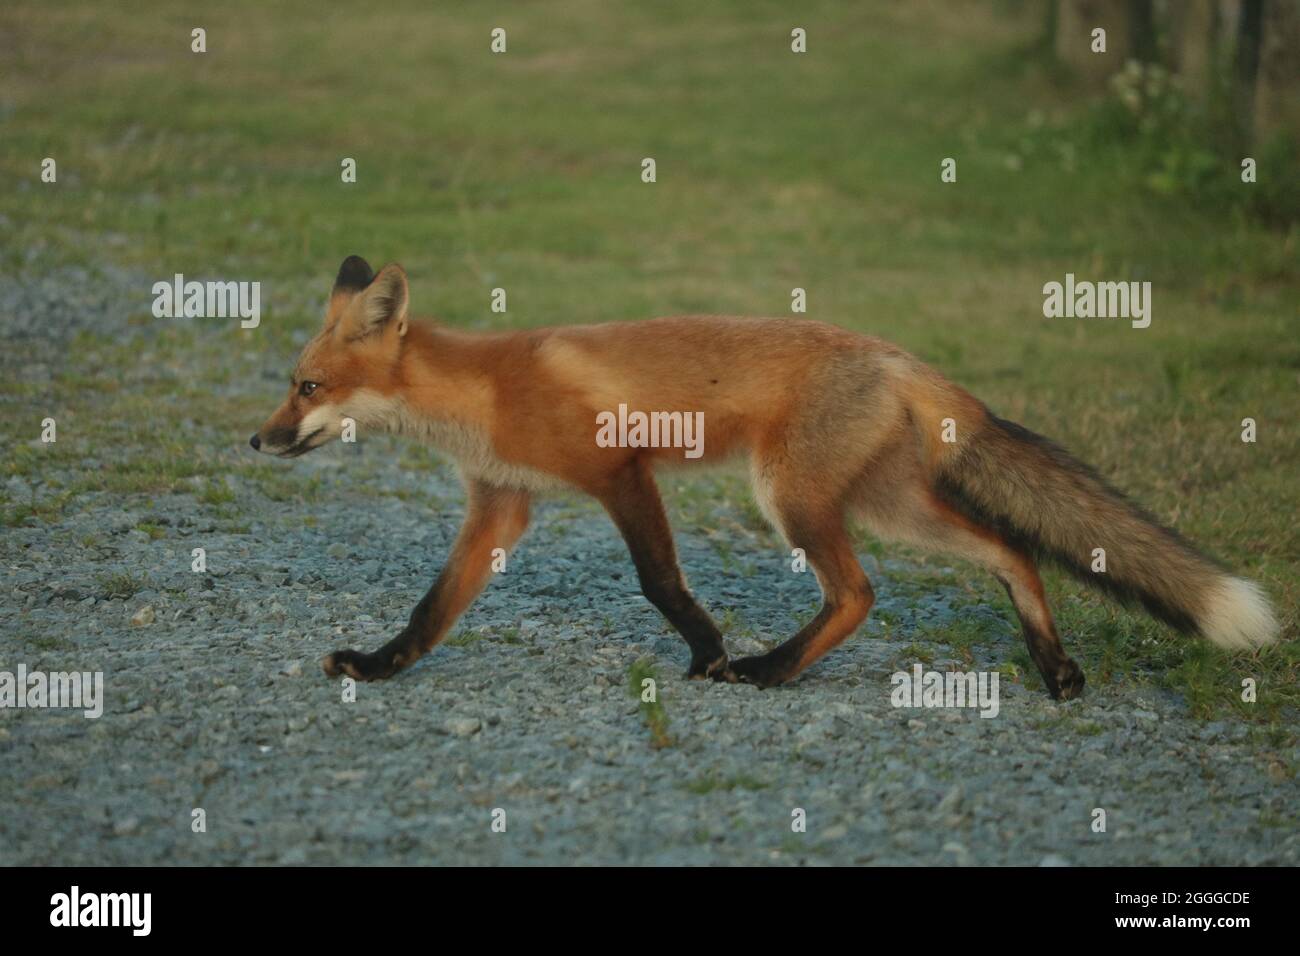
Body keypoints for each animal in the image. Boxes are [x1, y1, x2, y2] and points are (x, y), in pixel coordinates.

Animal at [250, 255, 1280, 698]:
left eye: (307, 386)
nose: (258, 442)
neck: (486, 392)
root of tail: (900, 356)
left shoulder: (620, 470)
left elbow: (660, 581)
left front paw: (707, 653)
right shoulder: (501, 507)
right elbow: (431, 611)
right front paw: (378, 667)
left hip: (791, 498)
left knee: (860, 594)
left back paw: (769, 670)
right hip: (887, 503)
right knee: (1008, 551)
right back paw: (1054, 668)